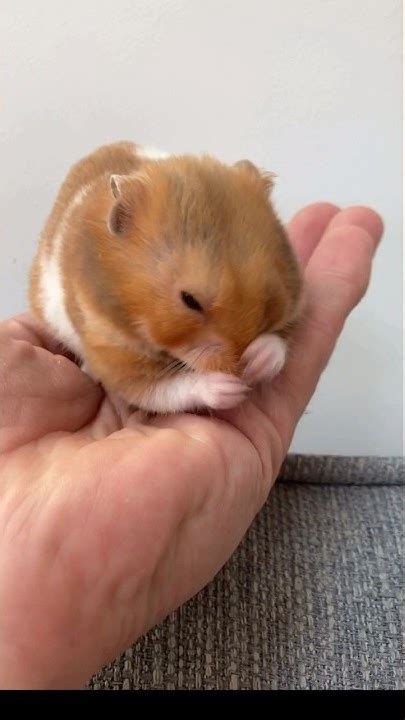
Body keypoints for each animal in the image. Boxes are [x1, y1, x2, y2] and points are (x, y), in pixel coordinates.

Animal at [29, 141, 303, 413]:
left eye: (269, 297)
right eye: (189, 300)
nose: (238, 369)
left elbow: (280, 341)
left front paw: (257, 360)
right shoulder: (114, 355)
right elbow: (163, 389)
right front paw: (231, 388)